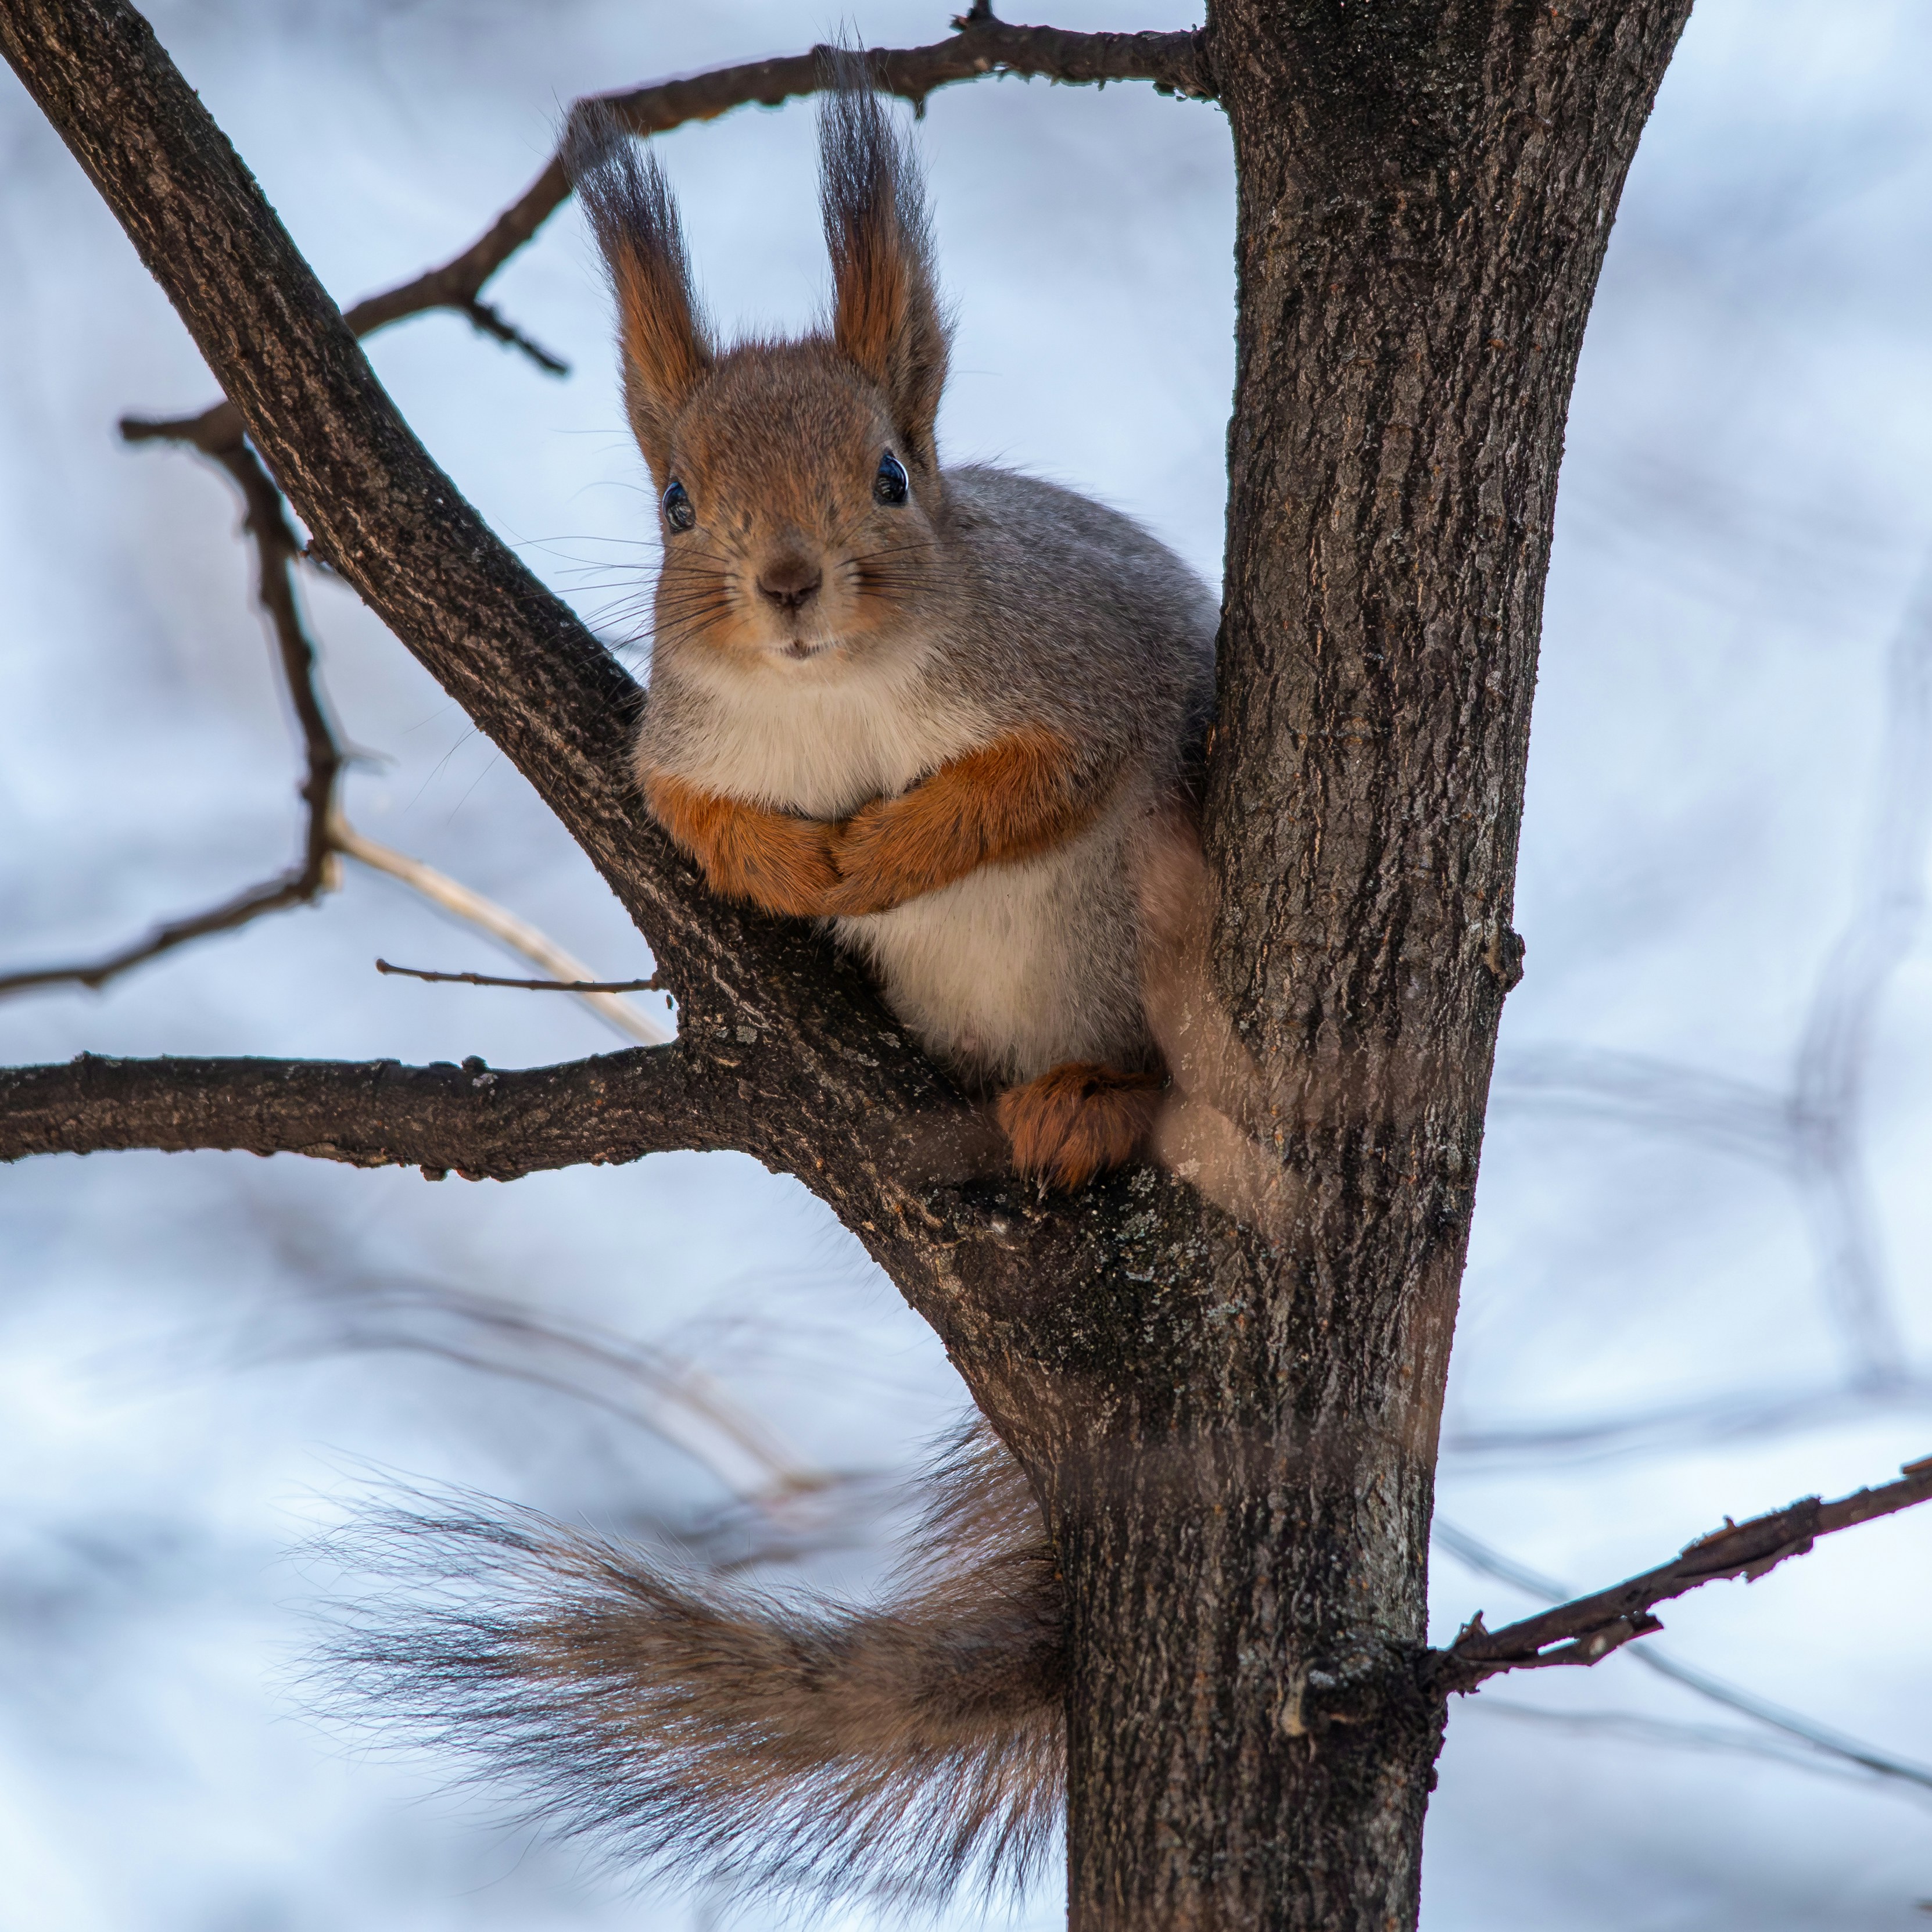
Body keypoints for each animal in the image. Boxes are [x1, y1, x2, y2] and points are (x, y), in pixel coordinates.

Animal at [340, 77, 1275, 1912]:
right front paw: (788, 869)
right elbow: (694, 820)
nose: (784, 585)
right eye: (677, 504)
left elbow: (1027, 784)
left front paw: (889, 848)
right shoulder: (673, 747)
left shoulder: (1089, 673)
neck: (831, 696)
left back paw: (1090, 1096)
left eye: (893, 479)